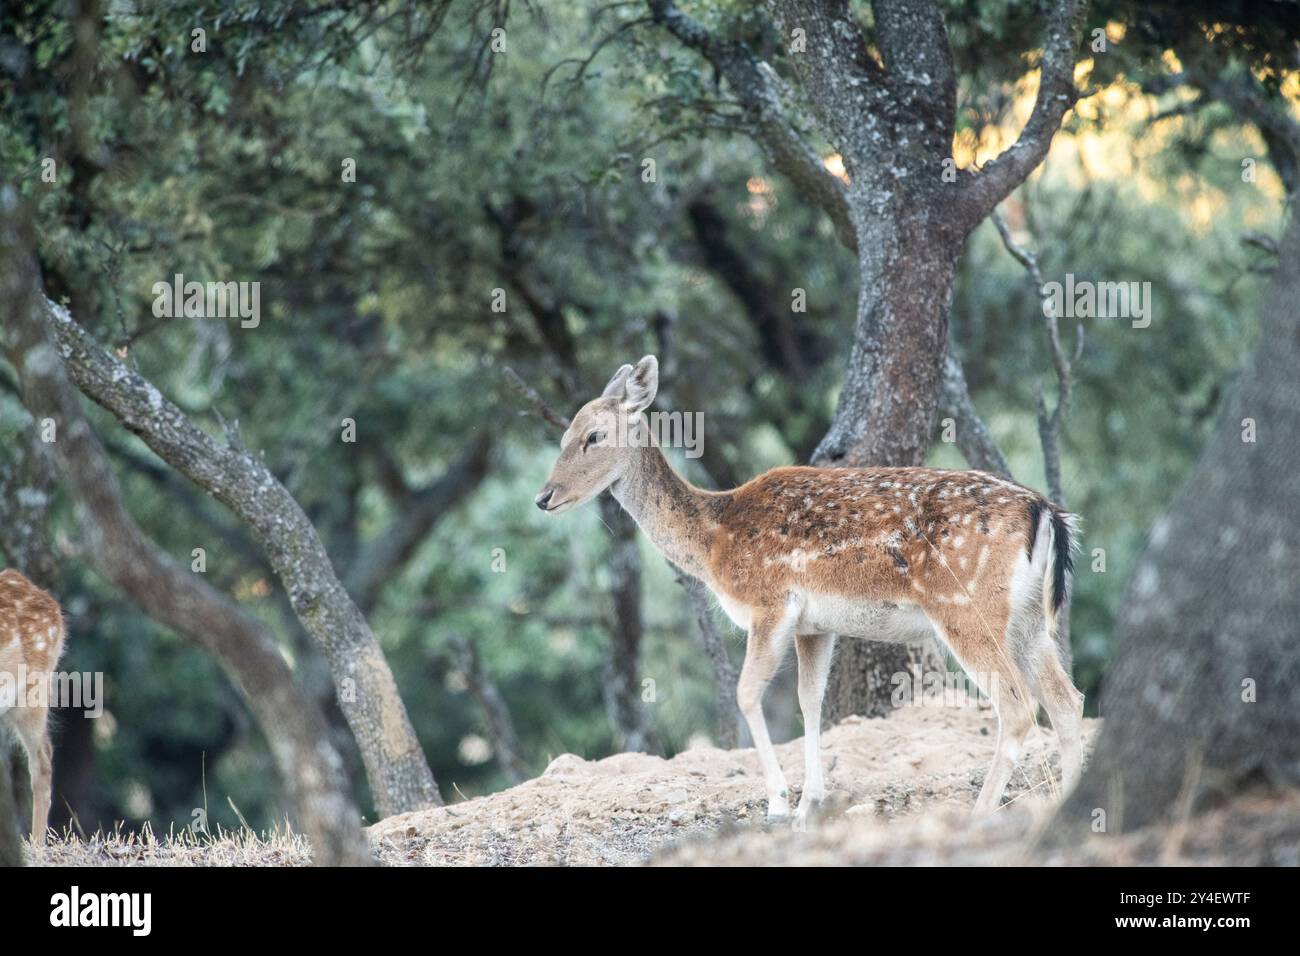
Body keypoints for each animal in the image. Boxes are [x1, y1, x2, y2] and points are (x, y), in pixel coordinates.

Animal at [535, 355, 1084, 828]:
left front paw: (779, 804)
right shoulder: (815, 626)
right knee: (1067, 699)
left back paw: (981, 812)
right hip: (1027, 618)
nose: (544, 496)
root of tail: (1046, 512)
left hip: (967, 606)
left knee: (1018, 706)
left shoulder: (770, 603)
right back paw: (1072, 804)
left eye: (592, 436)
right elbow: (809, 701)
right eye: (561, 435)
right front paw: (808, 805)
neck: (713, 540)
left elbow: (747, 693)